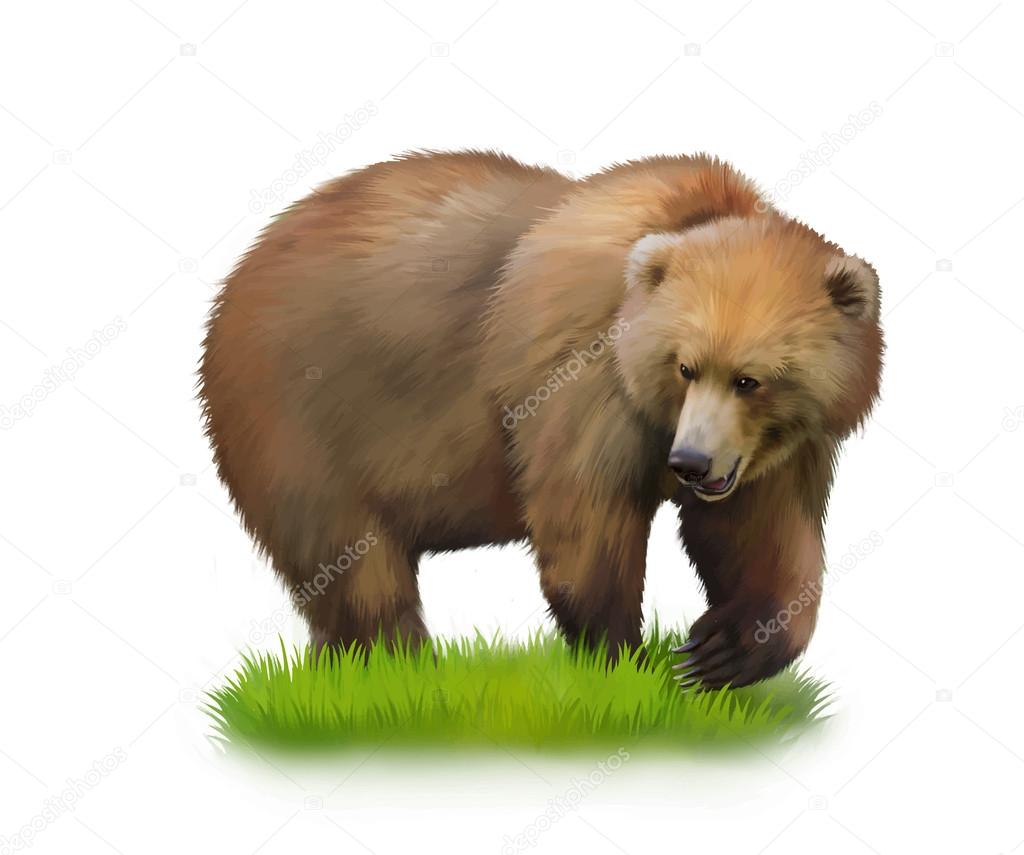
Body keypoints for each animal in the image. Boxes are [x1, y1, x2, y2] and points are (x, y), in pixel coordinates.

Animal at [199, 150, 883, 688]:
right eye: (685, 366)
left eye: (750, 379)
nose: (690, 463)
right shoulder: (582, 377)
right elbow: (582, 521)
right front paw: (628, 662)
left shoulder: (778, 448)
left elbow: (764, 533)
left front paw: (721, 649)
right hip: (301, 418)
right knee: (351, 560)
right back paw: (399, 666)